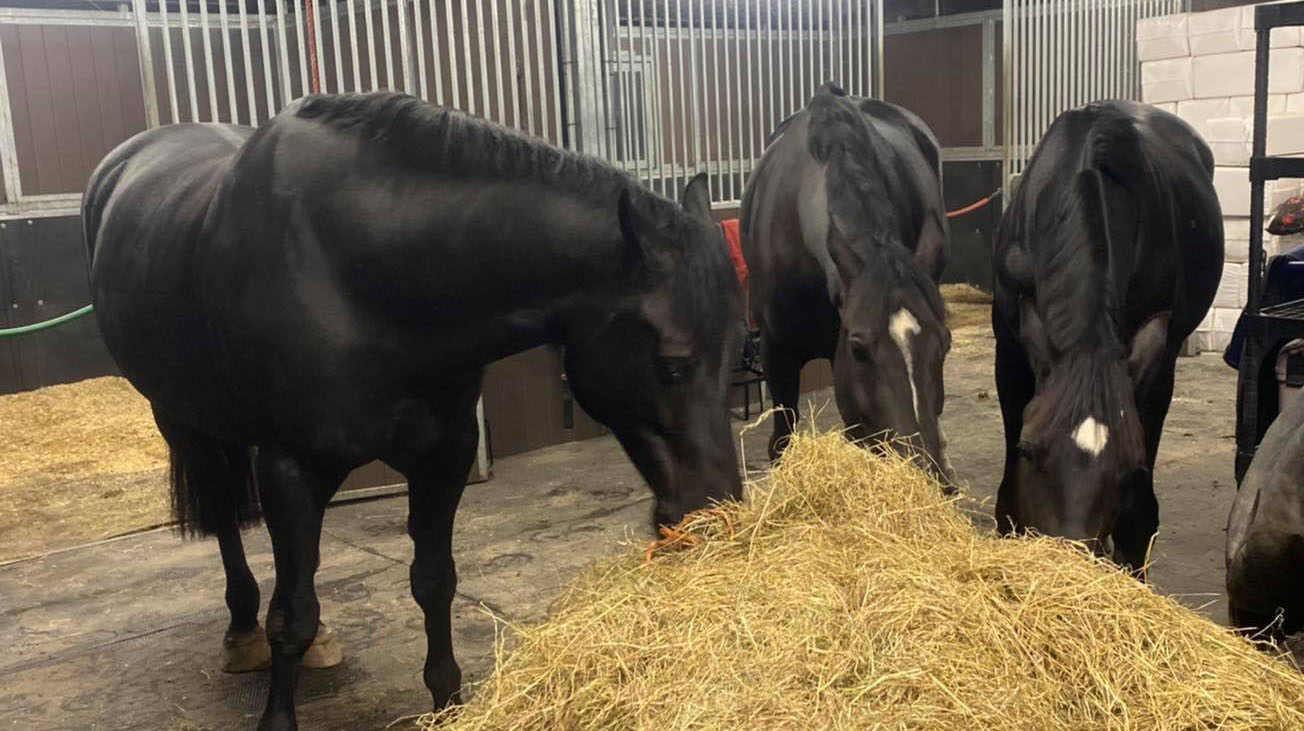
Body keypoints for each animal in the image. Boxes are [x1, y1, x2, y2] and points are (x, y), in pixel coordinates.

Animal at [81, 92, 744, 731]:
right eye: (673, 363)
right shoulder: (292, 467)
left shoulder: (444, 456)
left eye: (735, 350)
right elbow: (291, 615)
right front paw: (277, 712)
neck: (363, 272)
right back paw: (242, 633)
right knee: (225, 517)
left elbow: (433, 580)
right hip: (179, 418)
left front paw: (447, 701)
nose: (715, 514)